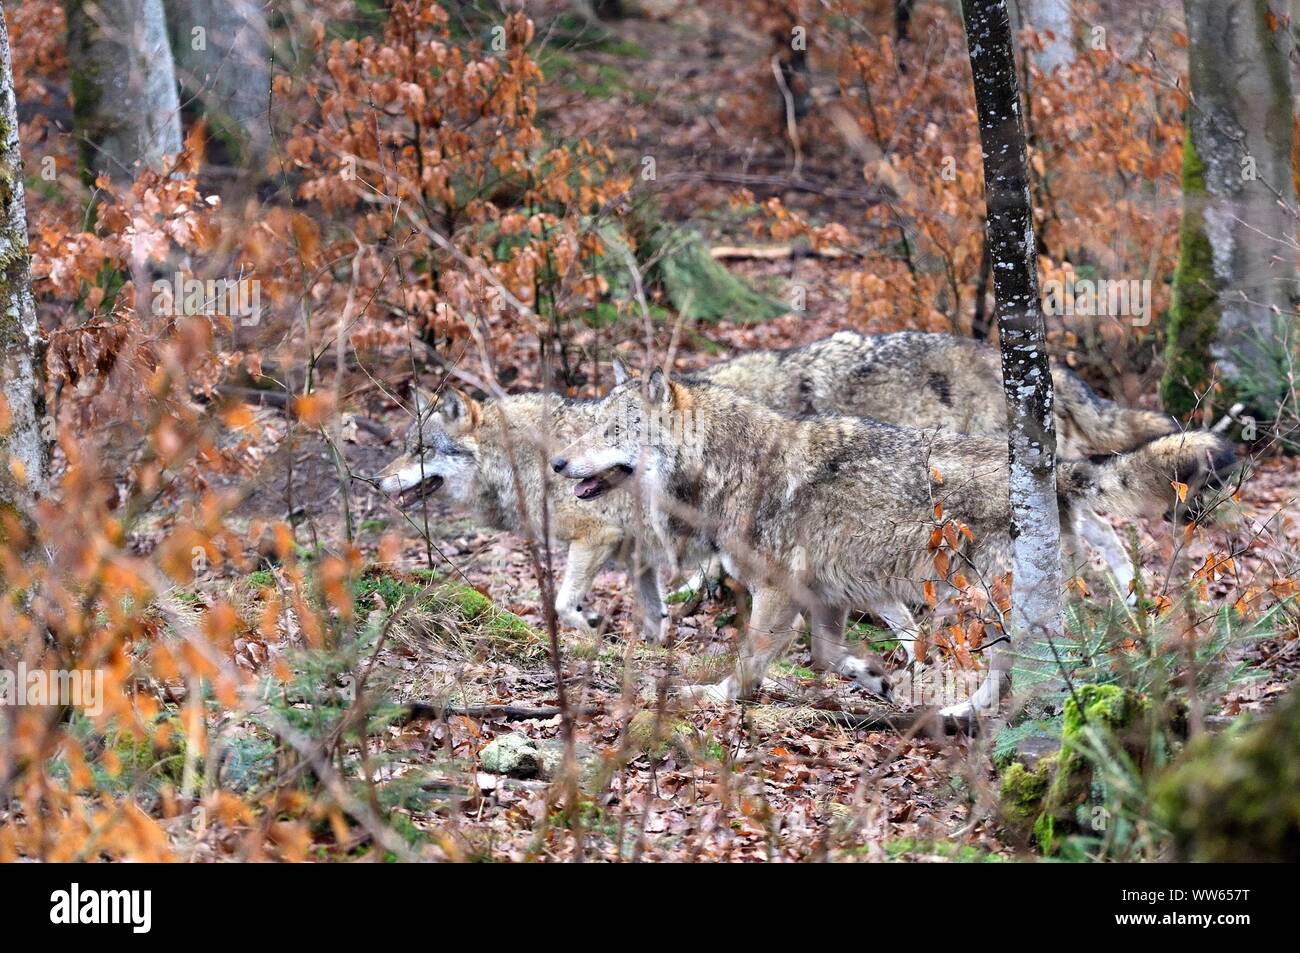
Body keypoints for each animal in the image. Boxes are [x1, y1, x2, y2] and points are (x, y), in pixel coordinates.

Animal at [378, 388, 668, 642]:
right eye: (406, 448)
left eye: (423, 450)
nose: (376, 481)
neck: (515, 459)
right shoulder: (634, 552)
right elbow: (656, 612)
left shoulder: (596, 536)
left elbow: (562, 605)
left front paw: (591, 630)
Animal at [551, 371, 1235, 703]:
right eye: (587, 427)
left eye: (609, 430)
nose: (556, 463)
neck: (731, 467)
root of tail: (1054, 471)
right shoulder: (825, 599)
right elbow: (833, 658)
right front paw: (874, 679)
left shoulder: (778, 595)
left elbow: (748, 662)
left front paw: (717, 697)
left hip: (984, 601)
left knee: (1020, 663)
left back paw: (965, 712)